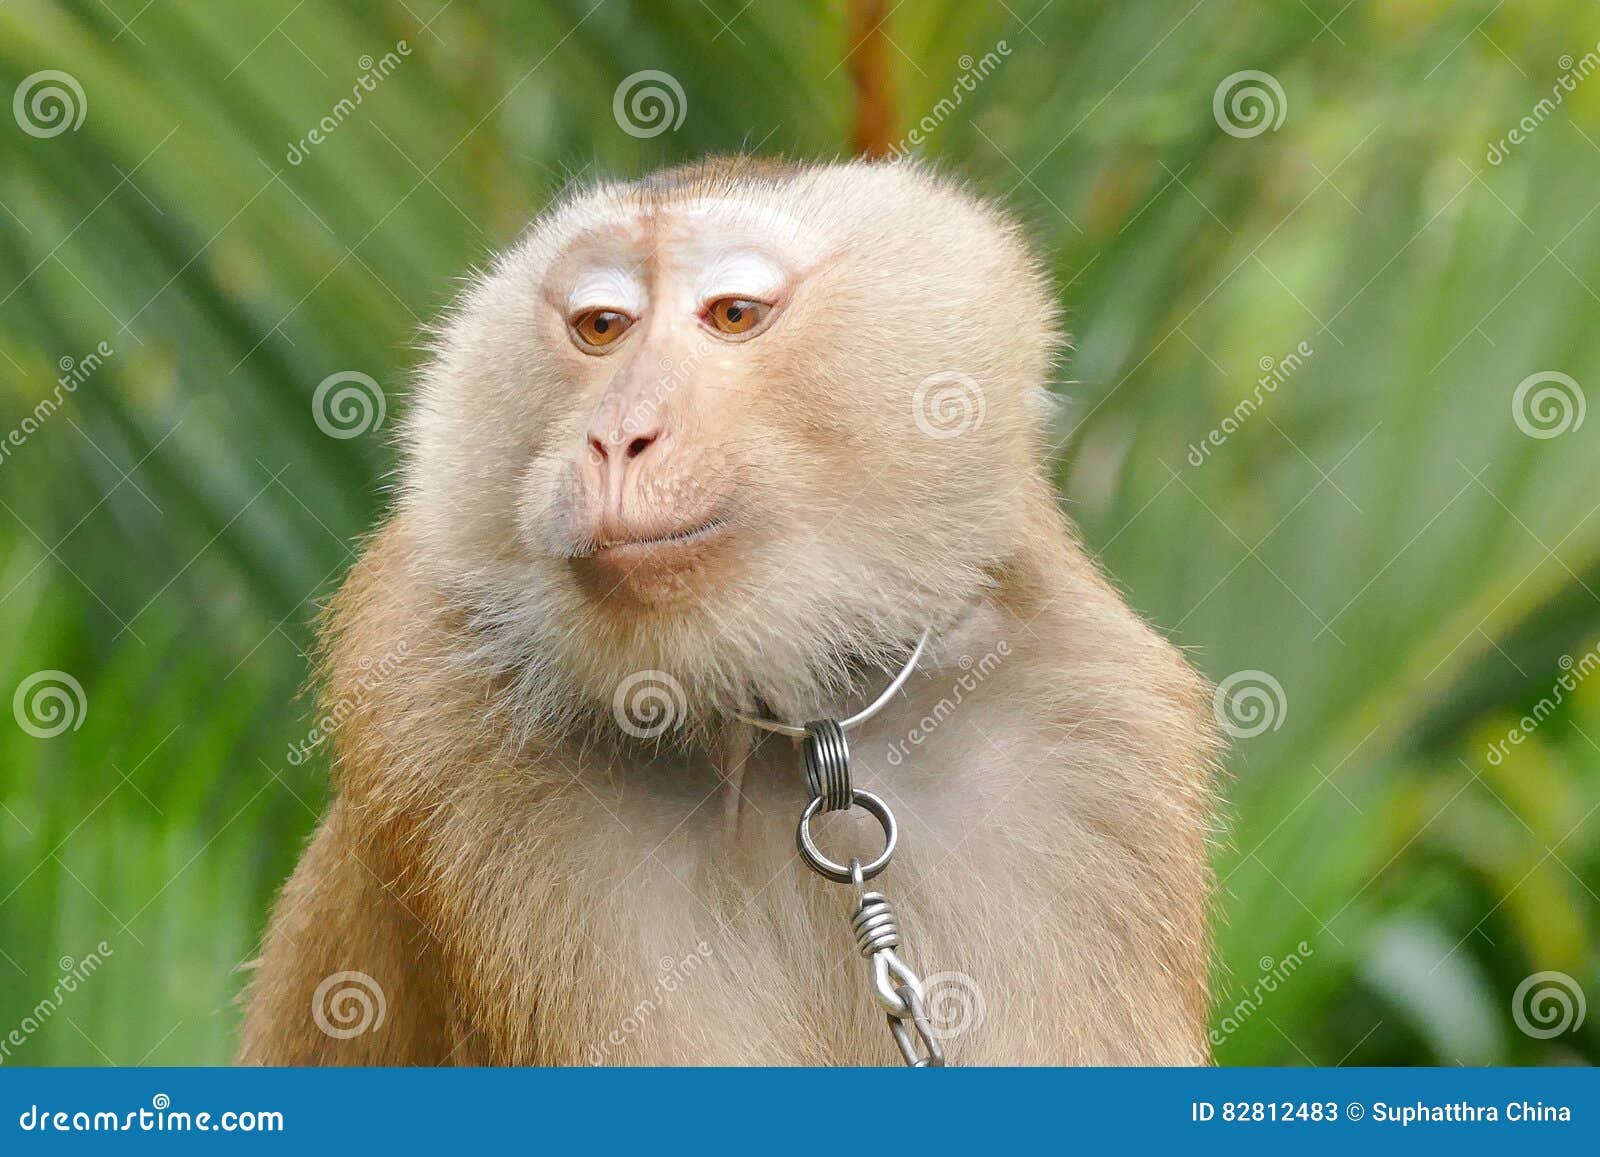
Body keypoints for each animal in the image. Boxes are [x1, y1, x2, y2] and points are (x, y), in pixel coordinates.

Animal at [237, 156, 1220, 1066]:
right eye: (601, 327)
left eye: (734, 314)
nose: (618, 435)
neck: (773, 721)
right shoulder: (447, 721)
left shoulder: (1075, 745)